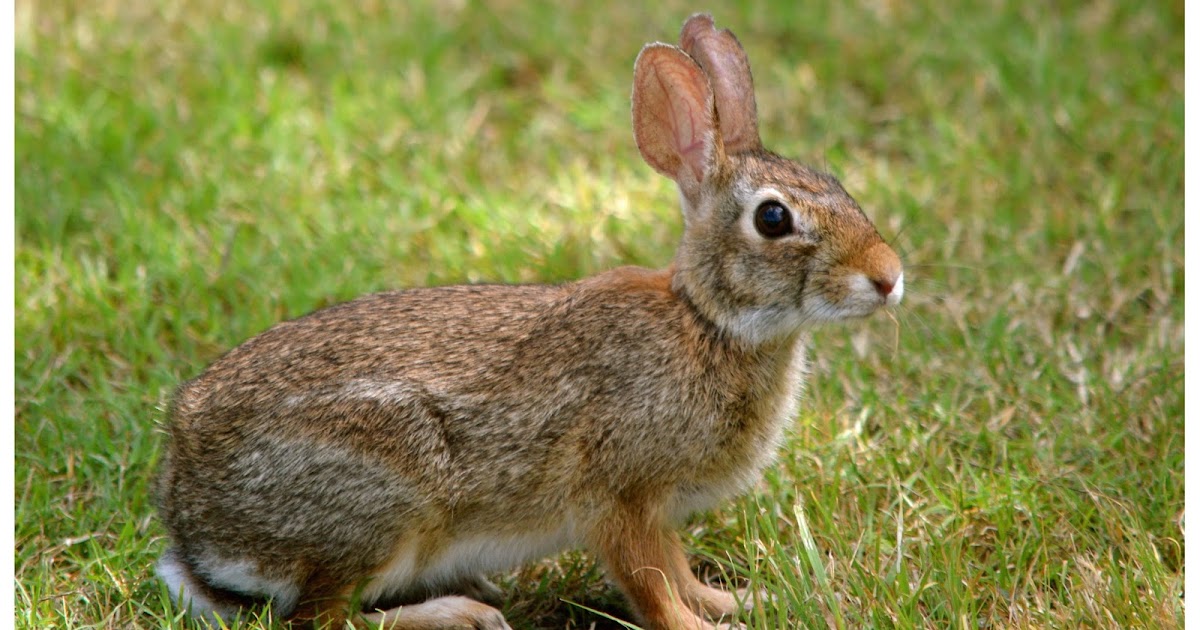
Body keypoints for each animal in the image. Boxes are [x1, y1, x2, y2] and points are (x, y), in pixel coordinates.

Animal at [155, 13, 903, 630]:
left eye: (837, 184)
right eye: (774, 218)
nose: (890, 276)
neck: (709, 321)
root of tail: (191, 516)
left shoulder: (654, 510)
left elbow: (676, 570)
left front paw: (734, 601)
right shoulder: (618, 495)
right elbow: (650, 582)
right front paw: (703, 627)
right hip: (382, 503)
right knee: (322, 618)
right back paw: (459, 615)